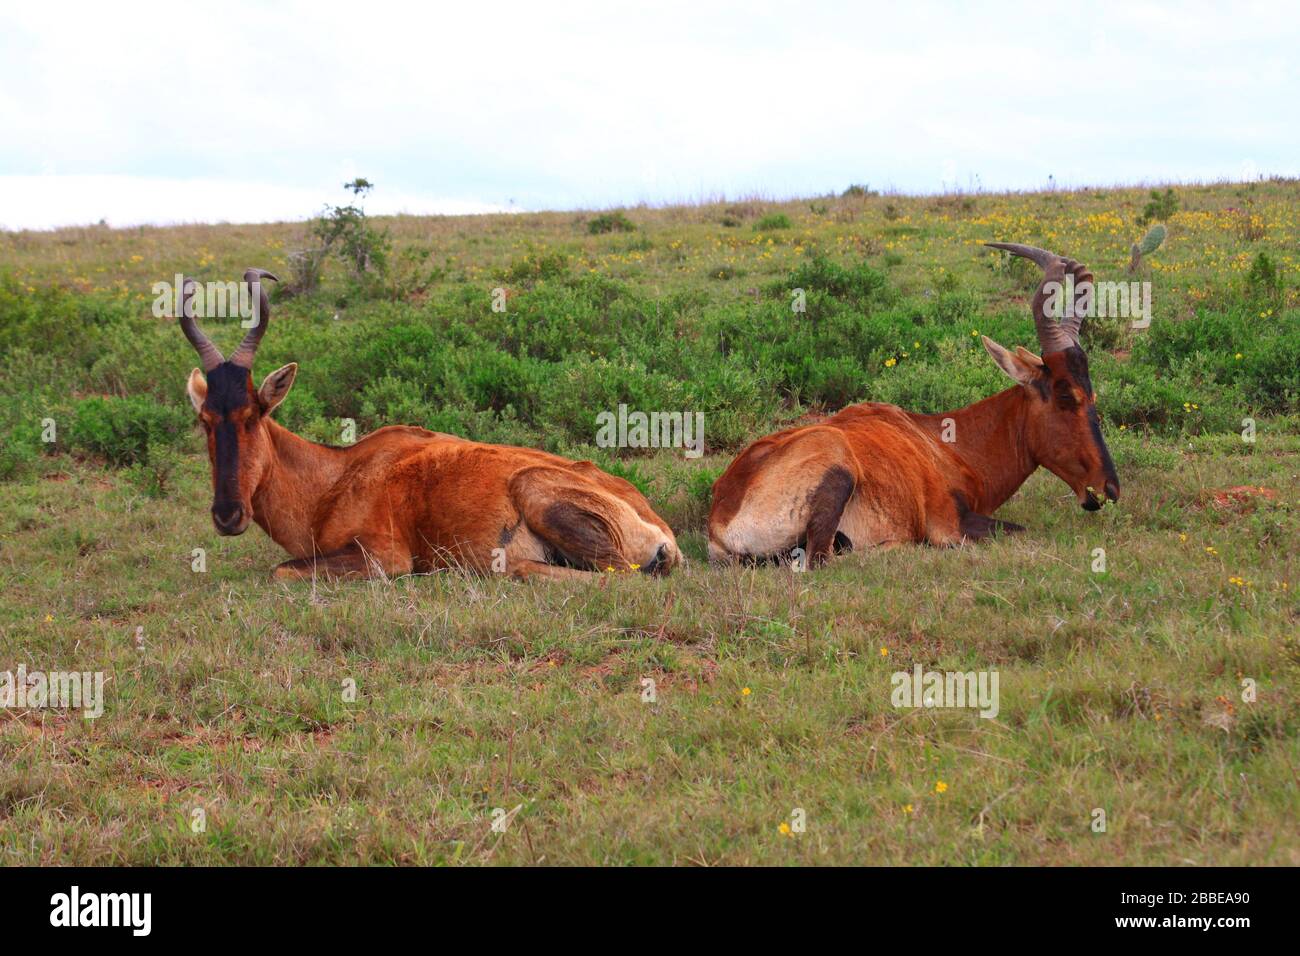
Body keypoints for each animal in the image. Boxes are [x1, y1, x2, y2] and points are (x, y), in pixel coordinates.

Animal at [179, 269, 681, 581]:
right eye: (205, 419)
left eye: (253, 414)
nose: (228, 515)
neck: (336, 477)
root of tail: (662, 531)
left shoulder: (384, 558)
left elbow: (280, 571)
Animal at [707, 243, 1120, 566]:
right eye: (1066, 395)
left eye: (1092, 393)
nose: (1109, 488)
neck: (939, 441)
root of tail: (719, 523)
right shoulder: (951, 526)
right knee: (820, 559)